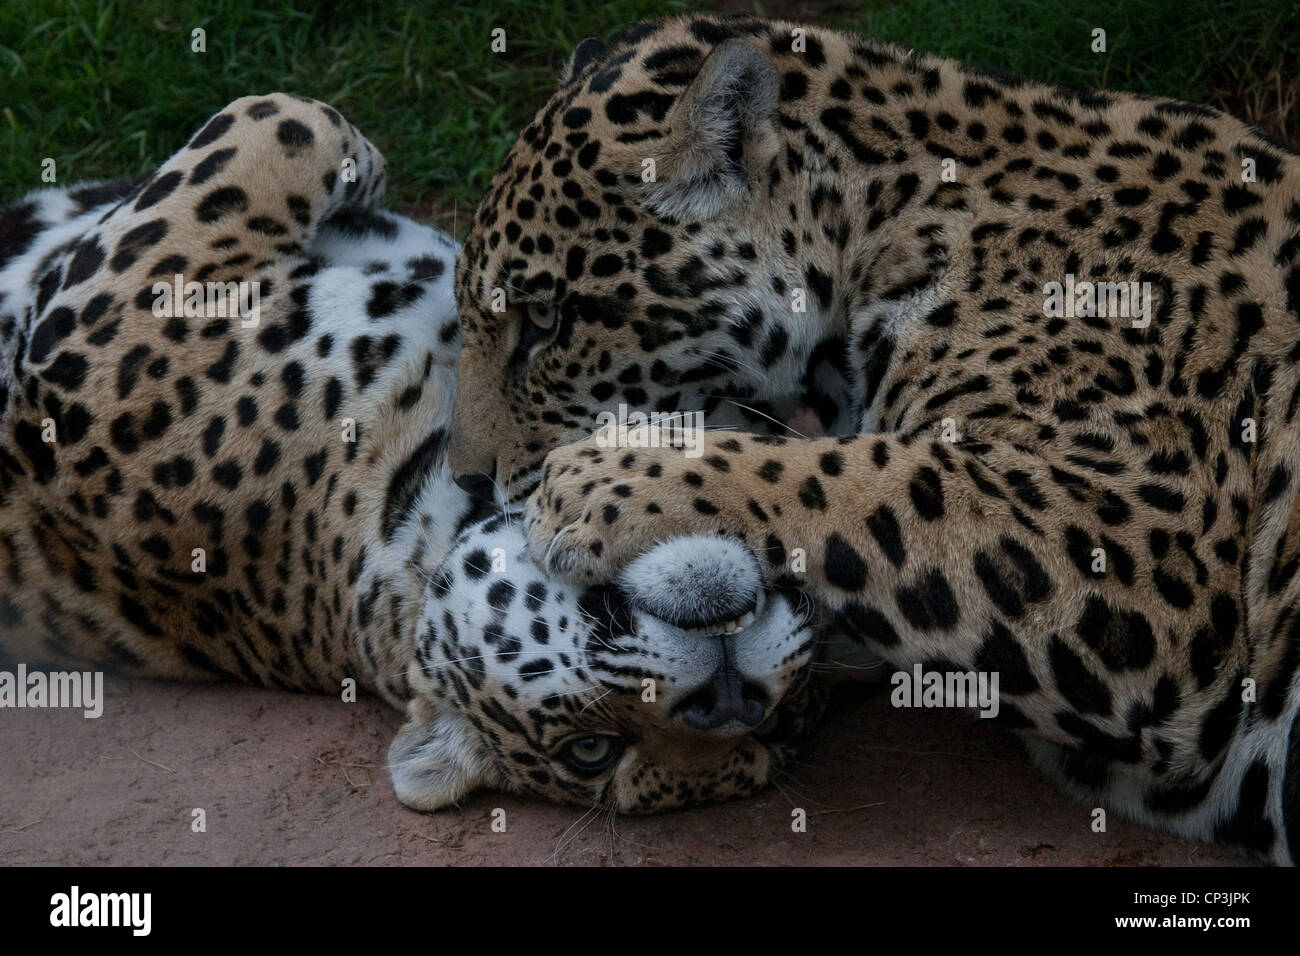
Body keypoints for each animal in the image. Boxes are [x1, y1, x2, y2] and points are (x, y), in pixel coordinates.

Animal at [0, 93, 858, 817]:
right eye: (591, 752)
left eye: (781, 725)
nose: (735, 702)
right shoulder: (101, 331)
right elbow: (285, 119)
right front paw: (365, 172)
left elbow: (278, 125)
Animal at [450, 13, 1300, 863]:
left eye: (547, 321)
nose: (464, 479)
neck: (895, 223)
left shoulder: (1148, 544)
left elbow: (865, 473)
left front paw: (598, 484)